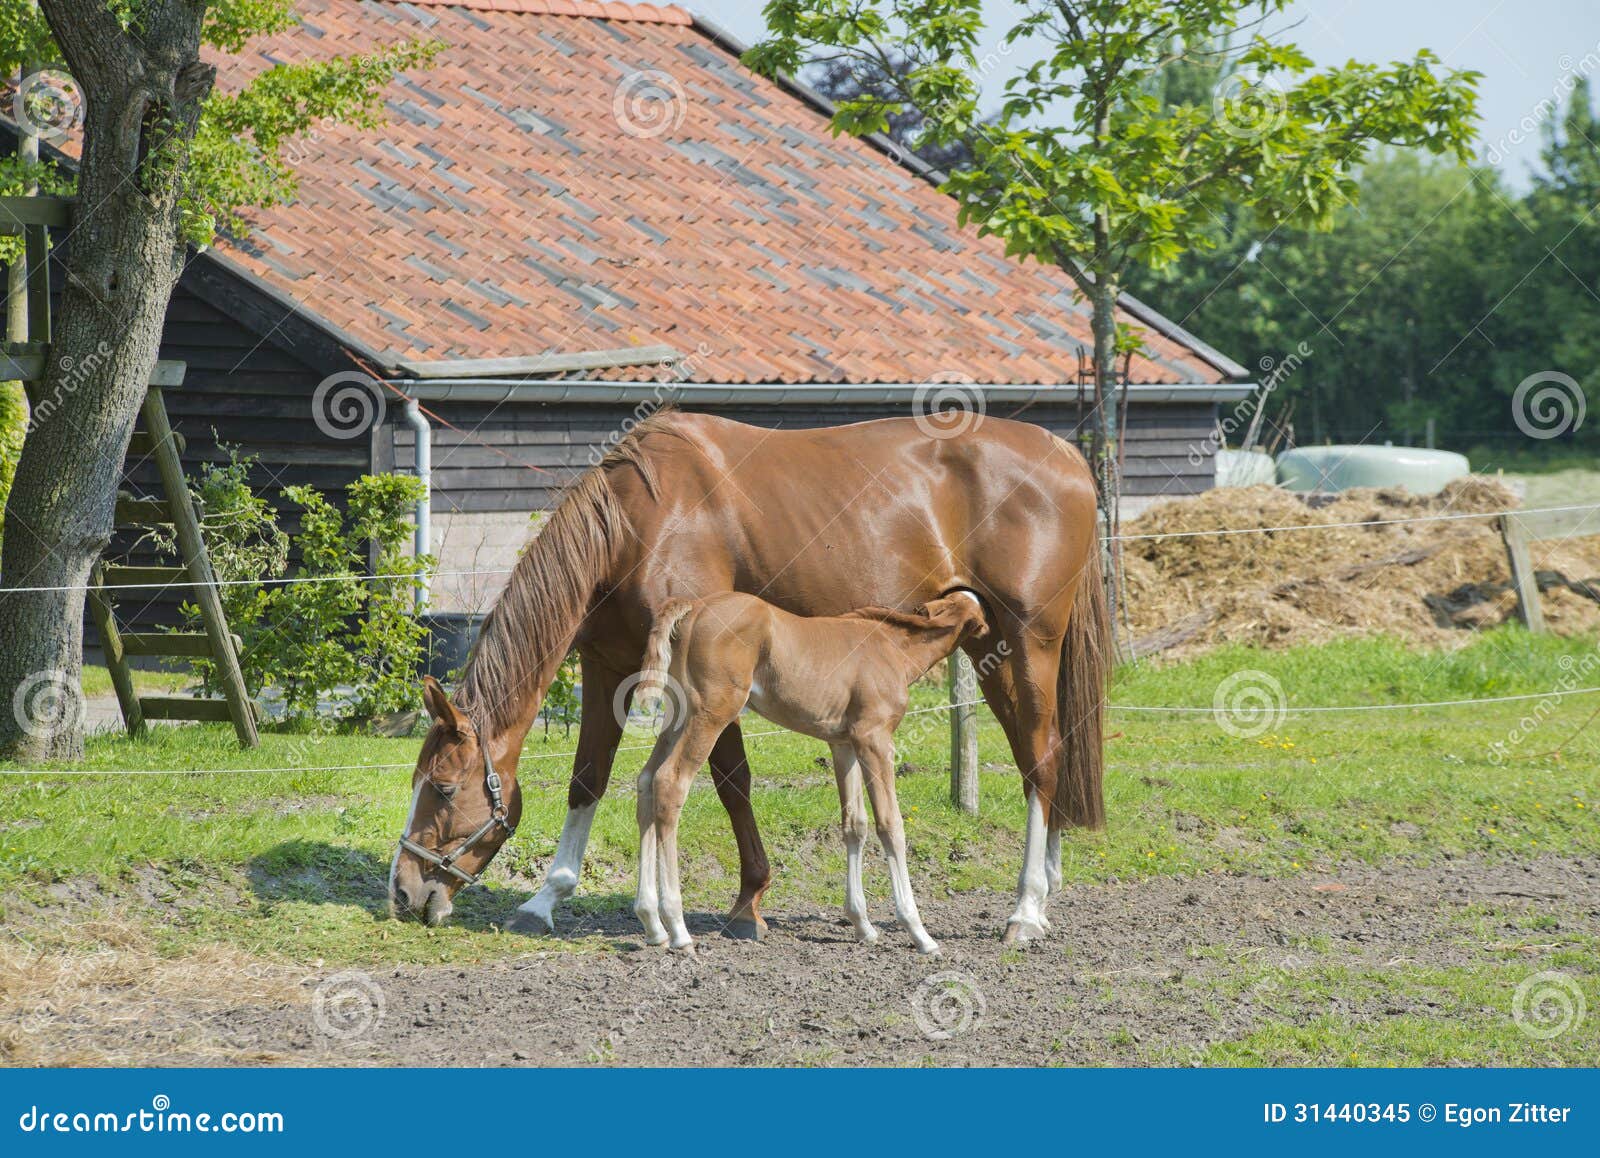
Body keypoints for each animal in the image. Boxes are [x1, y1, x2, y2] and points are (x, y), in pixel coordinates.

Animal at [632, 589, 989, 955]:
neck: (893, 648)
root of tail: (694, 606)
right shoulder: (875, 740)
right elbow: (891, 826)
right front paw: (919, 932)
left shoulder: (844, 745)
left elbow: (855, 824)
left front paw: (863, 925)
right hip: (710, 714)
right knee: (670, 783)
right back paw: (677, 929)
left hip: (677, 716)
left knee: (646, 782)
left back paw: (652, 924)